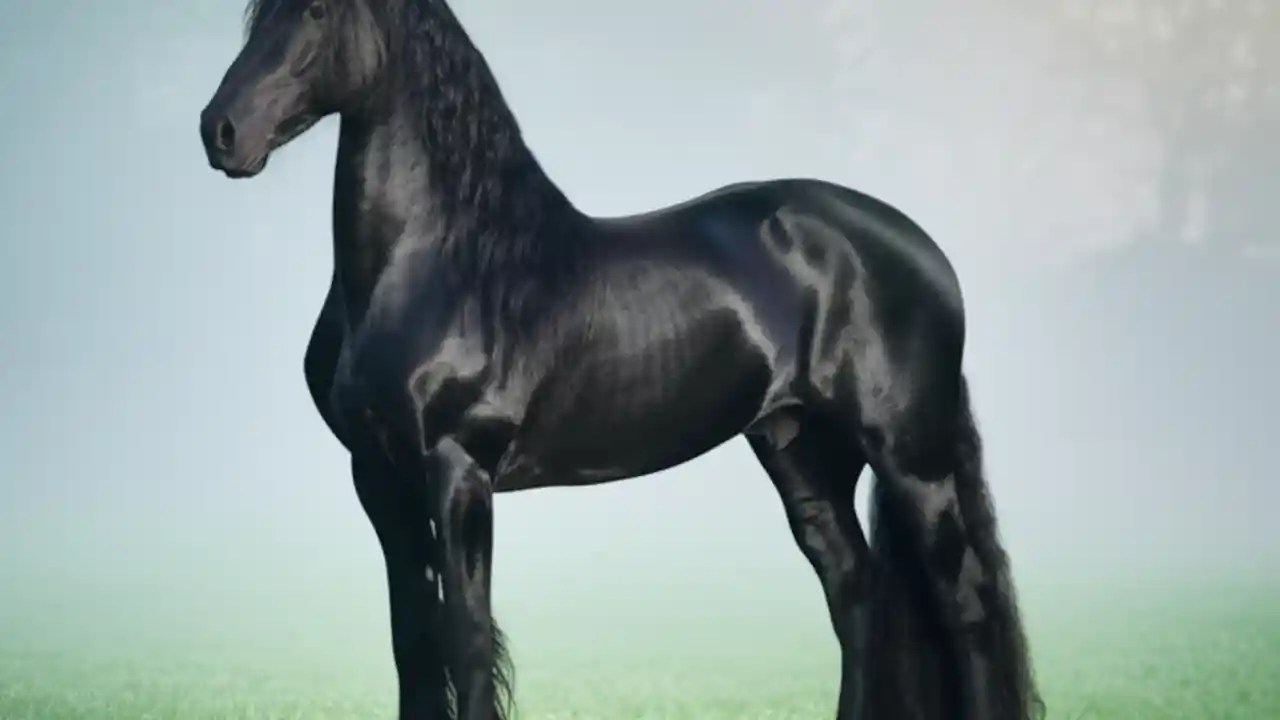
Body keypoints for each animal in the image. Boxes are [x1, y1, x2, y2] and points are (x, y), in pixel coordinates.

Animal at [198, 1, 1041, 719]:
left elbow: (467, 642)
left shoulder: (459, 468)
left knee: (965, 604)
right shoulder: (377, 476)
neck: (441, 266)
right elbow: (414, 647)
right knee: (853, 591)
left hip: (912, 458)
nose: (222, 131)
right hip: (800, 447)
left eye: (316, 12)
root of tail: (920, 247)